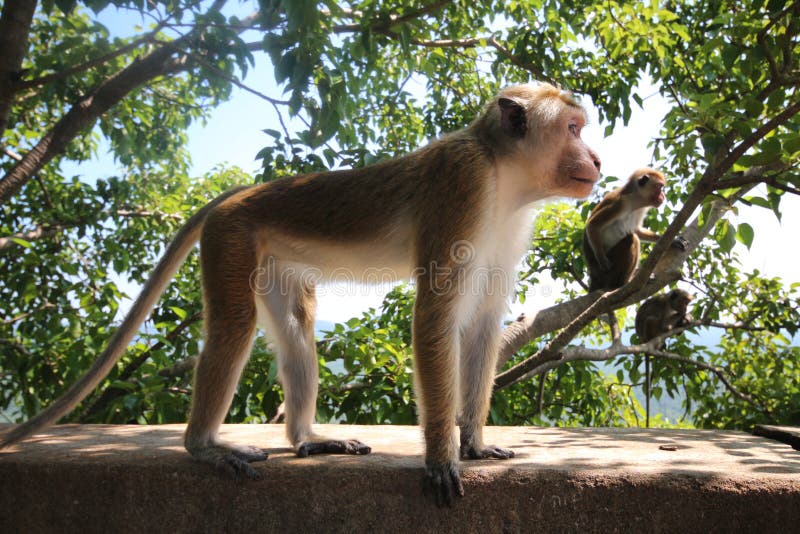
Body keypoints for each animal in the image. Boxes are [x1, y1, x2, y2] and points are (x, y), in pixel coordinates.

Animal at [0, 82, 601, 506]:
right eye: (573, 128)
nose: (596, 160)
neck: (504, 174)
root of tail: (237, 196)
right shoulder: (462, 184)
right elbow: (435, 316)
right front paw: (439, 457)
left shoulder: (508, 225)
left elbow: (481, 324)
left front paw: (472, 443)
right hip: (232, 240)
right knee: (235, 327)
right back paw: (204, 447)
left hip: (273, 263)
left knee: (294, 333)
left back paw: (307, 438)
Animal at [634, 288, 693, 427]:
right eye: (684, 302)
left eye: (687, 303)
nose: (686, 308)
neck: (669, 303)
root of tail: (643, 341)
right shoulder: (663, 306)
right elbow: (664, 324)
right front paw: (685, 316)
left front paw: (686, 319)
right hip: (648, 334)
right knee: (652, 320)